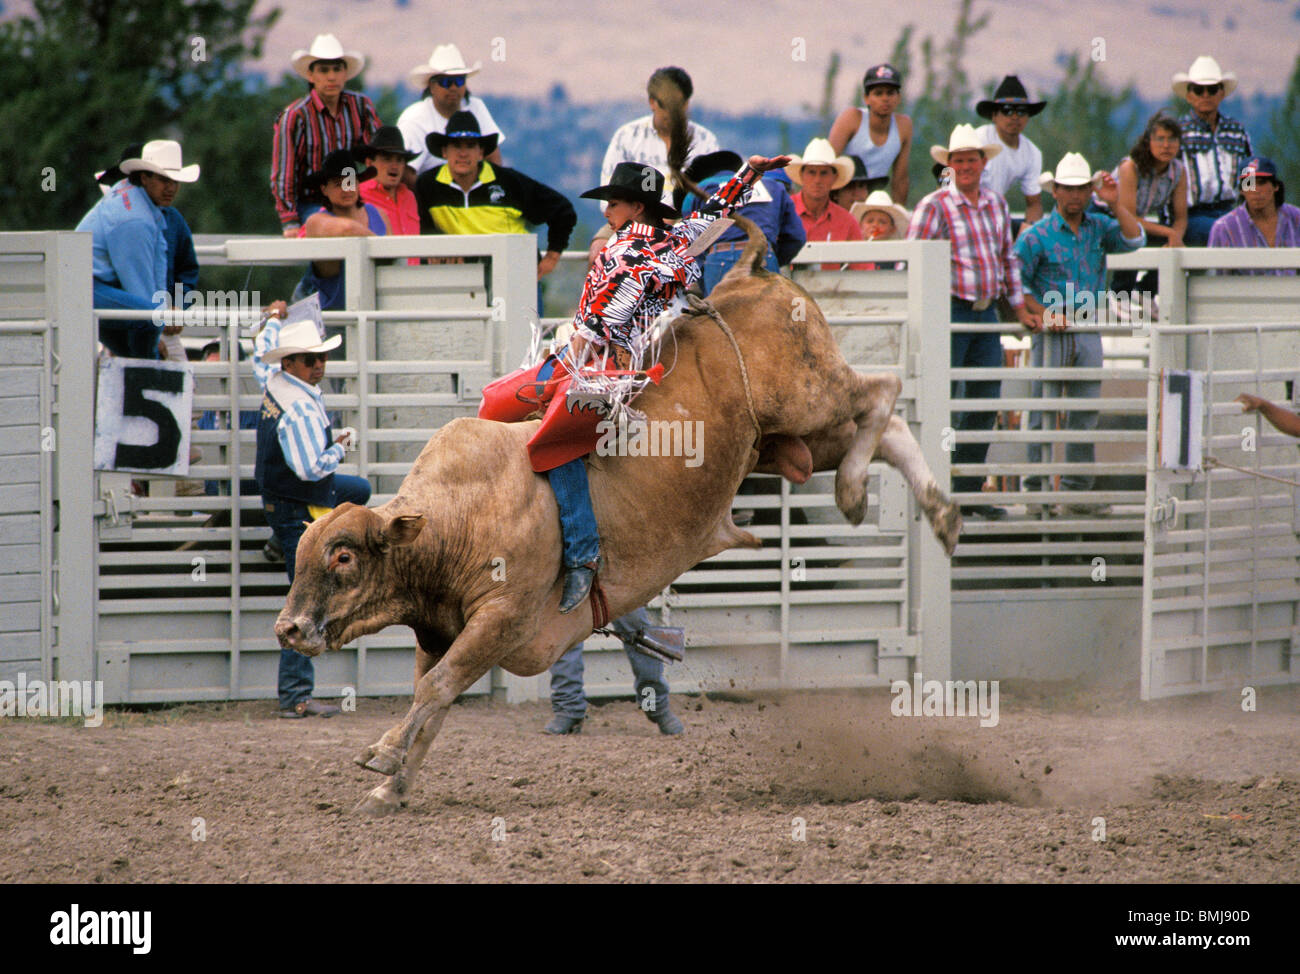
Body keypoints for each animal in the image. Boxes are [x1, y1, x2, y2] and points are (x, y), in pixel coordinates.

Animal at [275, 223, 962, 815]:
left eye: (343, 555)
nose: (287, 628)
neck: (457, 517)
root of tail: (750, 274)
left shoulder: (501, 619)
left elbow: (436, 689)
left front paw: (381, 755)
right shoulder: (440, 632)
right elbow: (434, 702)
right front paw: (391, 787)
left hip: (808, 395)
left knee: (882, 391)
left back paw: (854, 492)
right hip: (787, 440)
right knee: (884, 428)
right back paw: (940, 513)